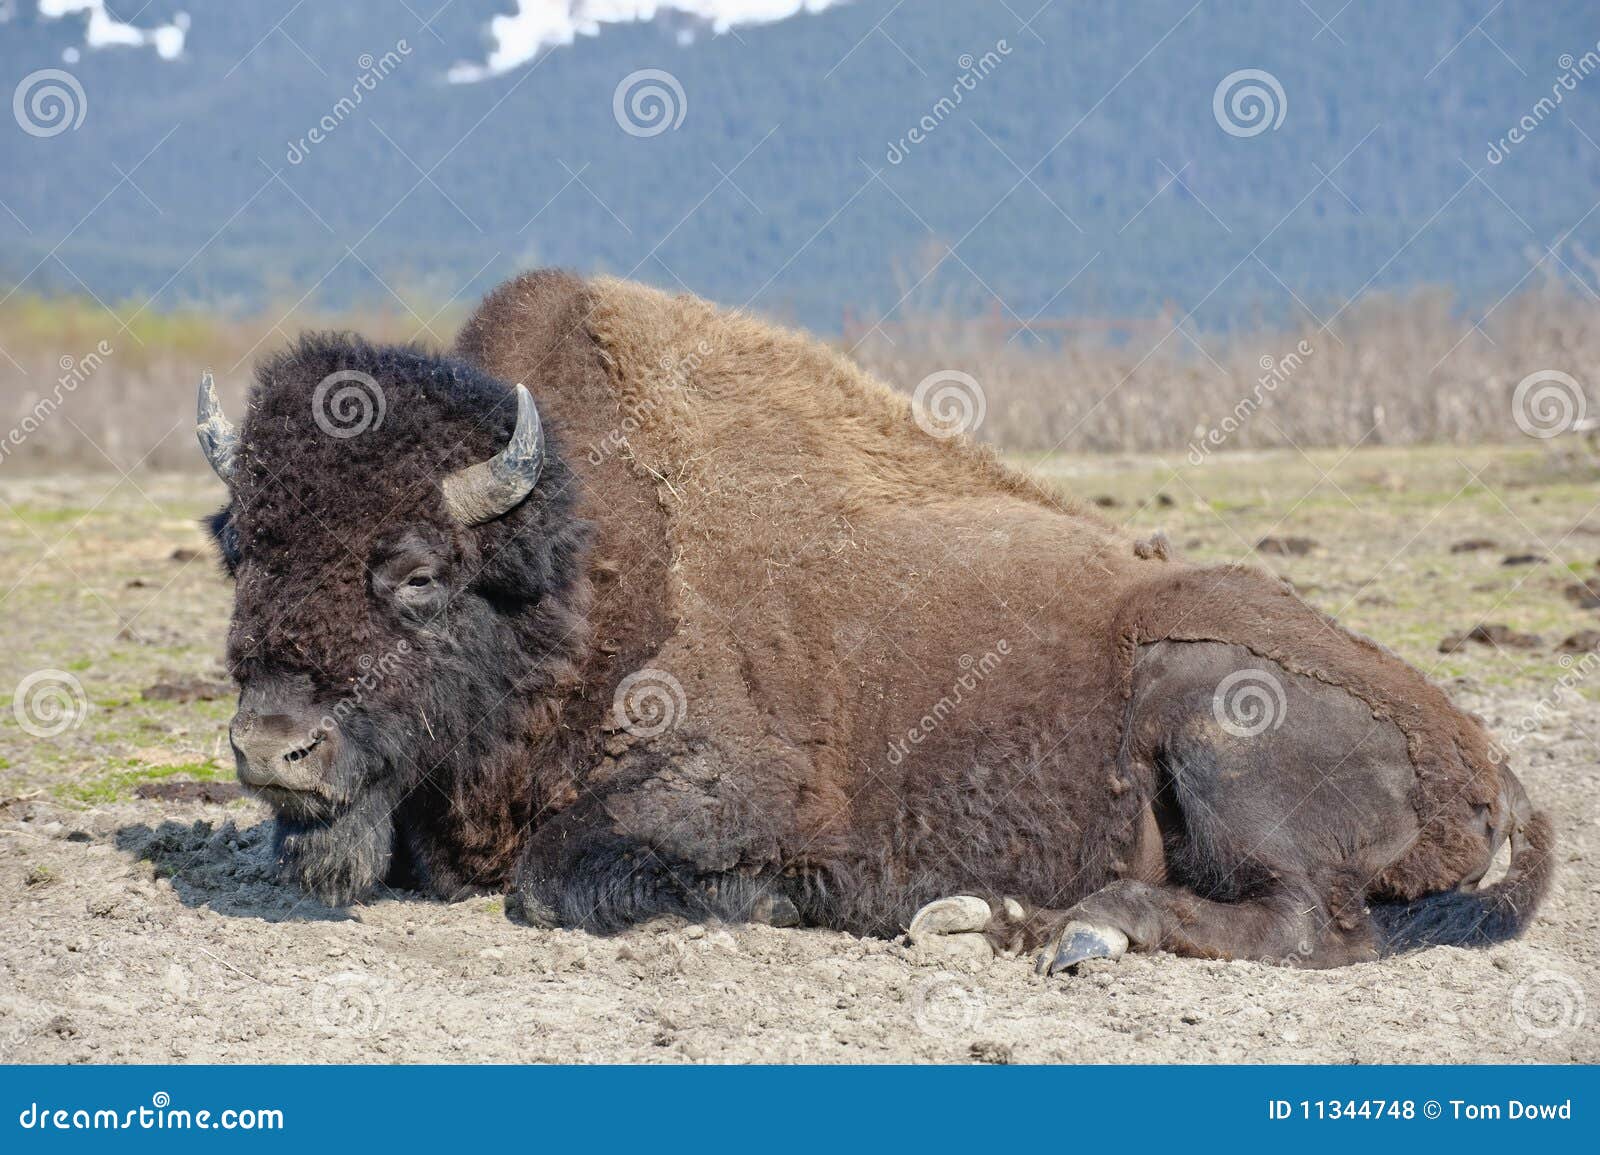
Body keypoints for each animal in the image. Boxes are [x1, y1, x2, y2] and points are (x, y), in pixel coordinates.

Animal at [196, 270, 1552, 973]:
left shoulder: (718, 786)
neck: (581, 566)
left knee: (1308, 924)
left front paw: (780, 898)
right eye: (241, 548)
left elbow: (564, 875)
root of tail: (1486, 757)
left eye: (418, 571)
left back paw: (1070, 927)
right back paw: (986, 920)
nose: (271, 748)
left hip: (1213, 709)